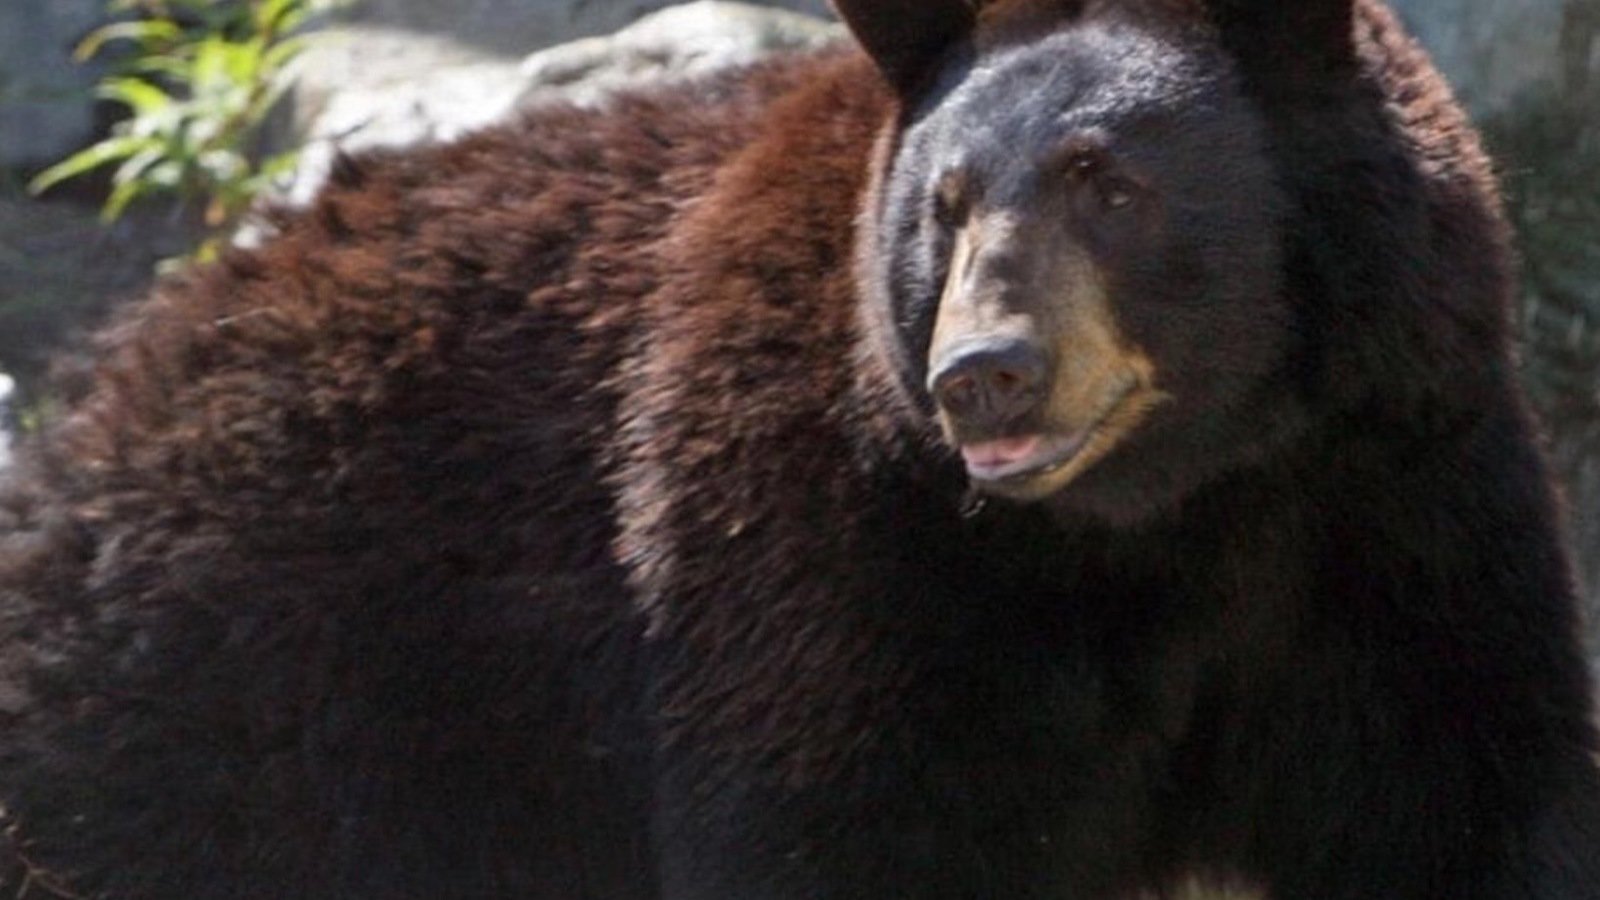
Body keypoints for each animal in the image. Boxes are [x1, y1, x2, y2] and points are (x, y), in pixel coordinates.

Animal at [2, 0, 1599, 896]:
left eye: (1108, 181)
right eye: (943, 203)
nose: (983, 380)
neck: (1167, 514)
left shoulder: (1392, 496)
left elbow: (1468, 789)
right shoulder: (829, 540)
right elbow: (850, 819)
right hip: (254, 688)